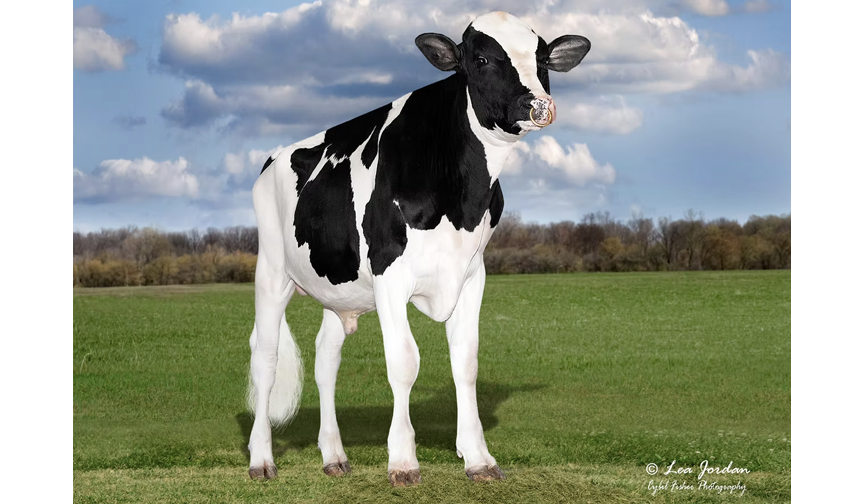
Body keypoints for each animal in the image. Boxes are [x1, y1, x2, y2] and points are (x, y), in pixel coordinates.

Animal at [246, 11, 590, 486]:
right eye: (481, 58)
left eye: (542, 60)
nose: (537, 104)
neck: (462, 197)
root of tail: (274, 157)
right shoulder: (390, 274)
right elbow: (404, 362)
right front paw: (403, 460)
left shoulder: (471, 274)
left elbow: (466, 362)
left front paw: (478, 457)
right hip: (272, 272)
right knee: (265, 357)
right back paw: (261, 459)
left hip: (341, 288)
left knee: (326, 359)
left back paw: (334, 456)